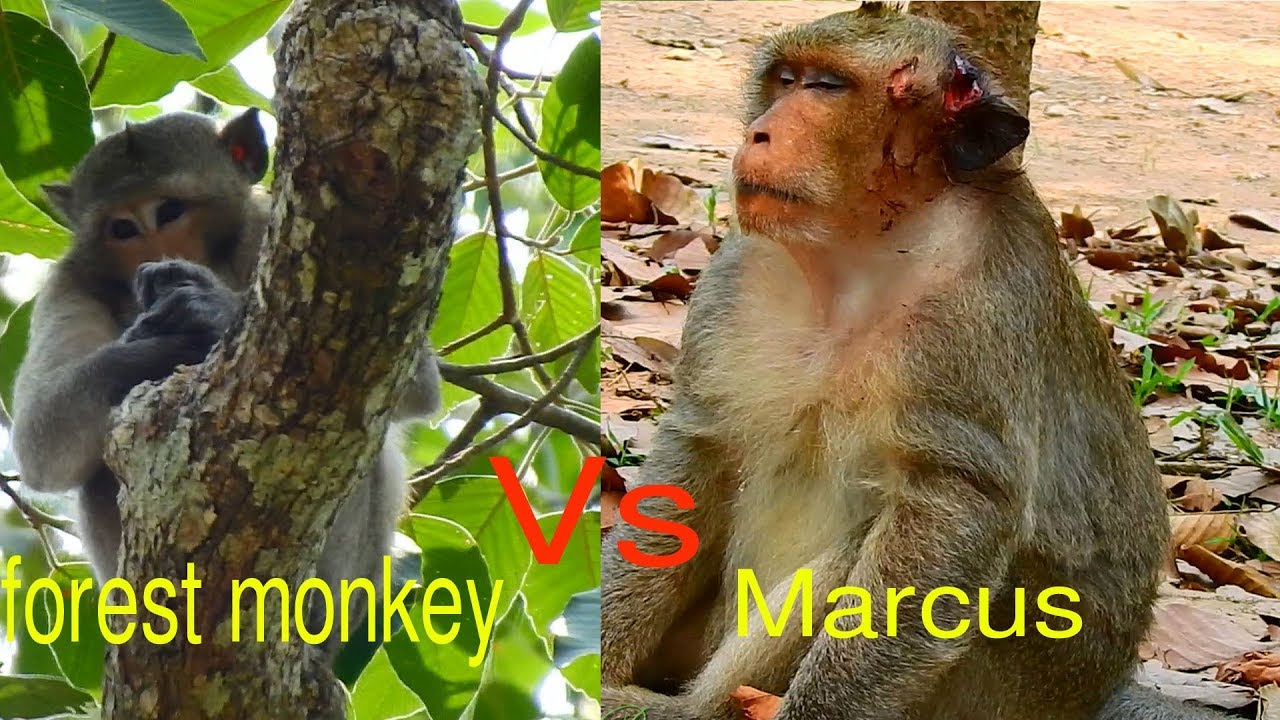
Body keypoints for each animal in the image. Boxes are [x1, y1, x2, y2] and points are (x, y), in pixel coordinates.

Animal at [10, 108, 441, 652]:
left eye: (170, 211)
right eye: (122, 228)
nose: (156, 254)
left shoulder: (266, 223)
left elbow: (414, 379)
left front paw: (208, 307)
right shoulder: (70, 282)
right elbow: (43, 439)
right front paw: (157, 338)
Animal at [601, 7, 1231, 720]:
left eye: (825, 87)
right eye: (785, 79)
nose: (758, 132)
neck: (860, 255)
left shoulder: (975, 311)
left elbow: (952, 507)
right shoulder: (738, 273)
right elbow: (701, 450)